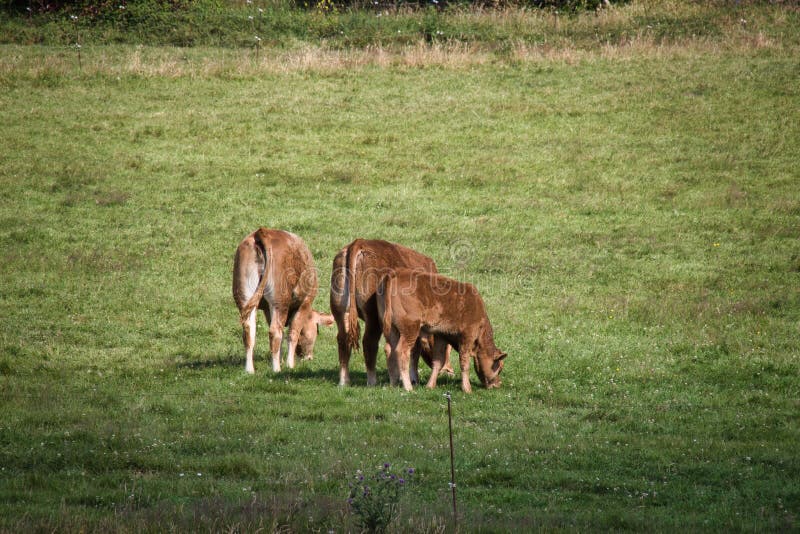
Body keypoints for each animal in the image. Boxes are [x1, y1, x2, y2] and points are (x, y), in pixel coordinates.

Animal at [233, 228, 333, 374]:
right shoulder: (305, 304)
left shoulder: (267, 310)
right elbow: (293, 333)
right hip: (279, 302)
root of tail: (262, 232)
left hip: (246, 296)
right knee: (275, 332)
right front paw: (289, 364)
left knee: (249, 331)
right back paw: (277, 369)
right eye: (317, 331)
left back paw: (249, 370)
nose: (309, 357)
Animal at [330, 239, 452, 387]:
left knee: (343, 341)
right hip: (373, 316)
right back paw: (372, 381)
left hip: (340, 310)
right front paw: (412, 379)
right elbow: (413, 351)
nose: (449, 370)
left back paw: (344, 381)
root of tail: (360, 242)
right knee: (369, 342)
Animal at [377, 269, 506, 393]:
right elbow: (464, 362)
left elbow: (438, 361)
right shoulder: (468, 335)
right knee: (402, 351)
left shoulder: (442, 336)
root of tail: (395, 274)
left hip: (393, 329)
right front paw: (467, 389)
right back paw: (408, 387)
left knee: (389, 349)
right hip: (410, 329)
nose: (498, 384)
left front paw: (430, 385)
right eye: (499, 368)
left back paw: (394, 384)